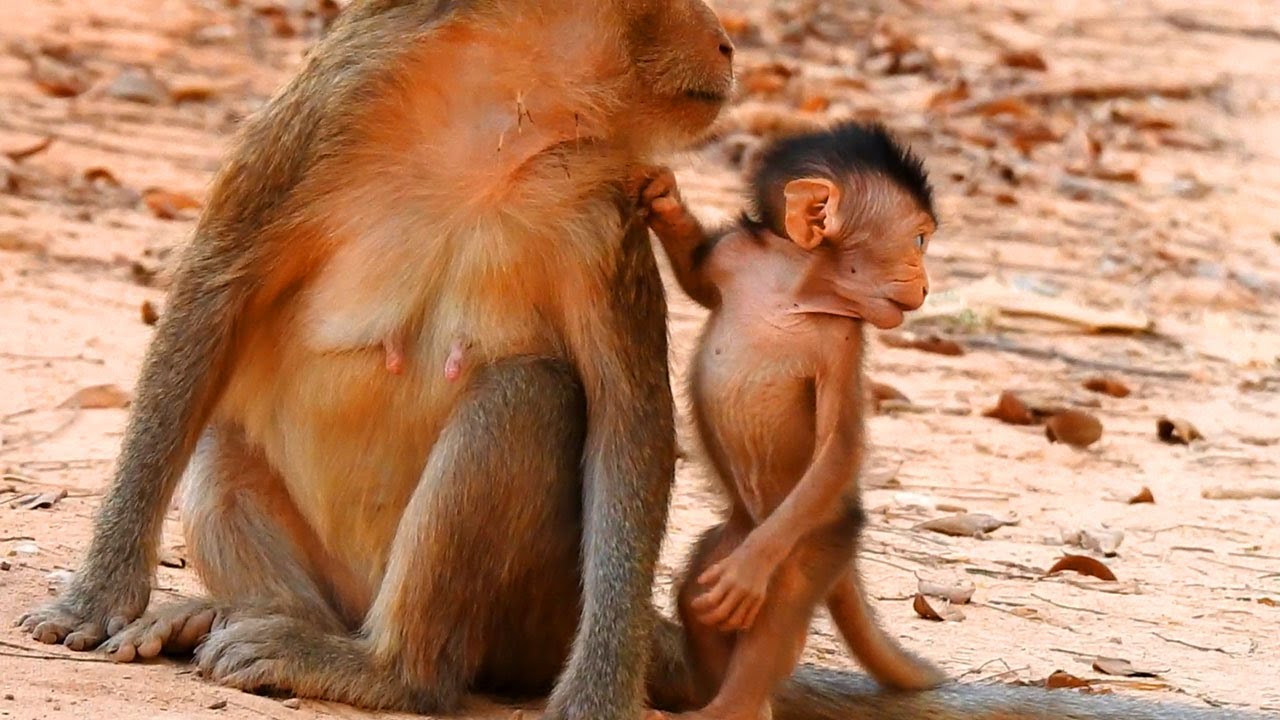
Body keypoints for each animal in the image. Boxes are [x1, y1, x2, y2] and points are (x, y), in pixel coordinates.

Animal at [633, 122, 944, 720]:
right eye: (918, 241)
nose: (927, 282)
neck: (791, 287)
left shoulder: (843, 340)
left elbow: (839, 446)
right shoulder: (737, 258)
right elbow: (699, 281)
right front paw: (665, 199)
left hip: (817, 532)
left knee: (777, 602)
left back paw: (730, 706)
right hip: (736, 531)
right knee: (697, 595)